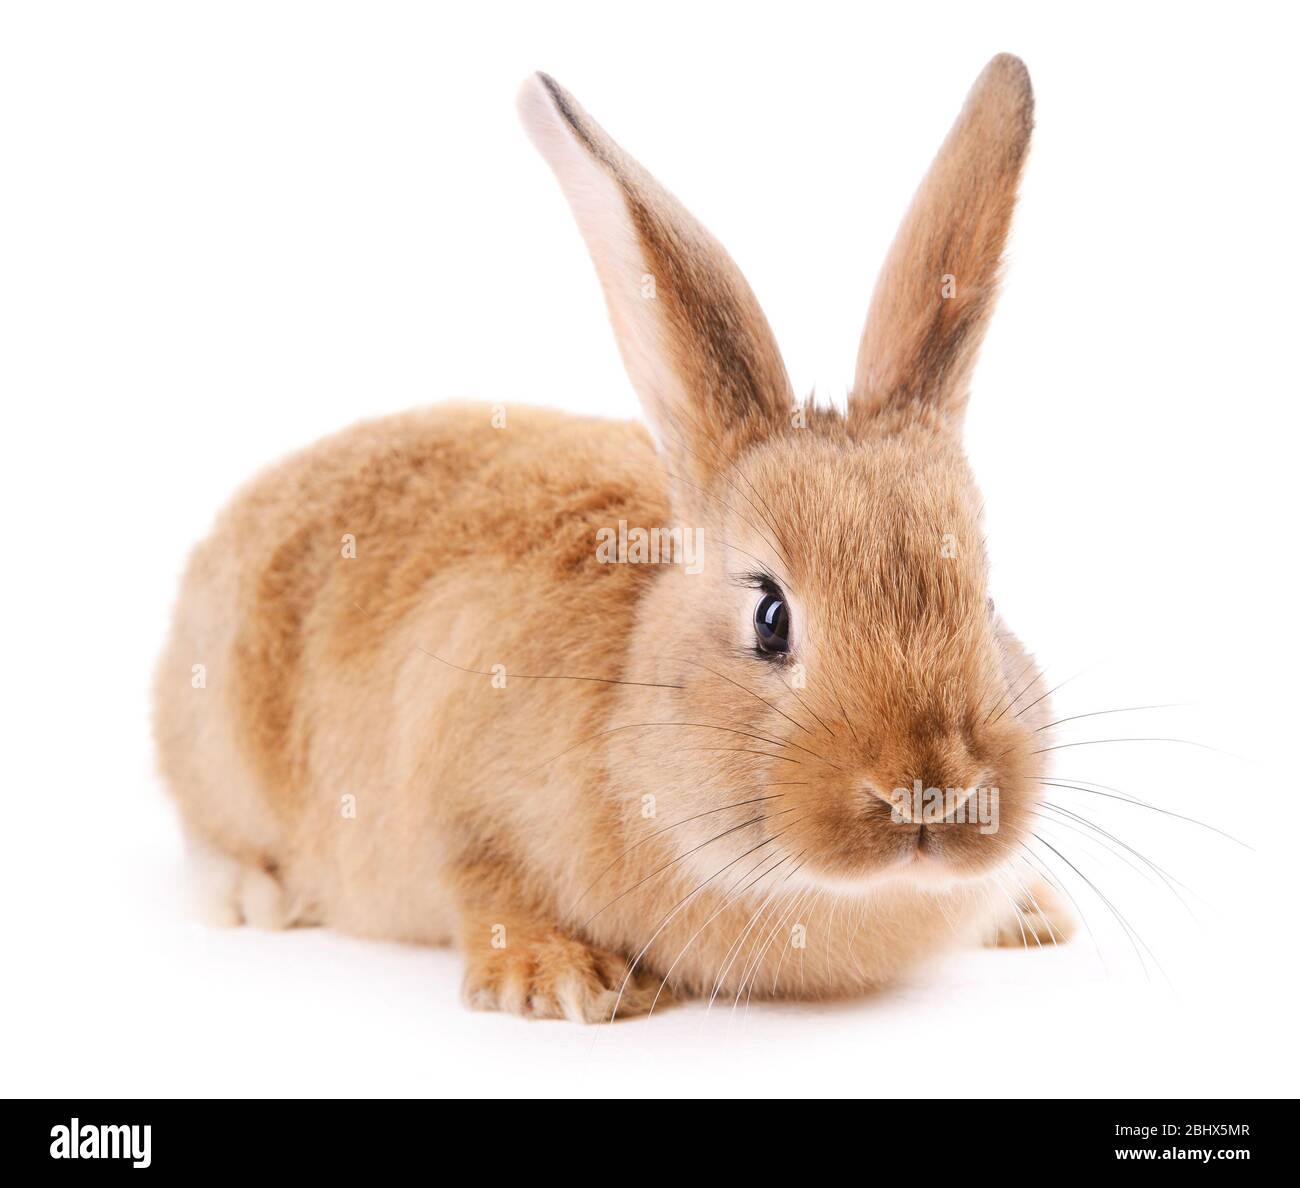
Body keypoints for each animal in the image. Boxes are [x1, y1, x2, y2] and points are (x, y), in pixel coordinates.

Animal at [154, 53, 1072, 1024]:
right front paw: (558, 980)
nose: (931, 792)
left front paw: (1036, 913)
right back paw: (254, 895)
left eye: (986, 601)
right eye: (771, 618)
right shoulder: (455, 794)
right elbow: (484, 885)